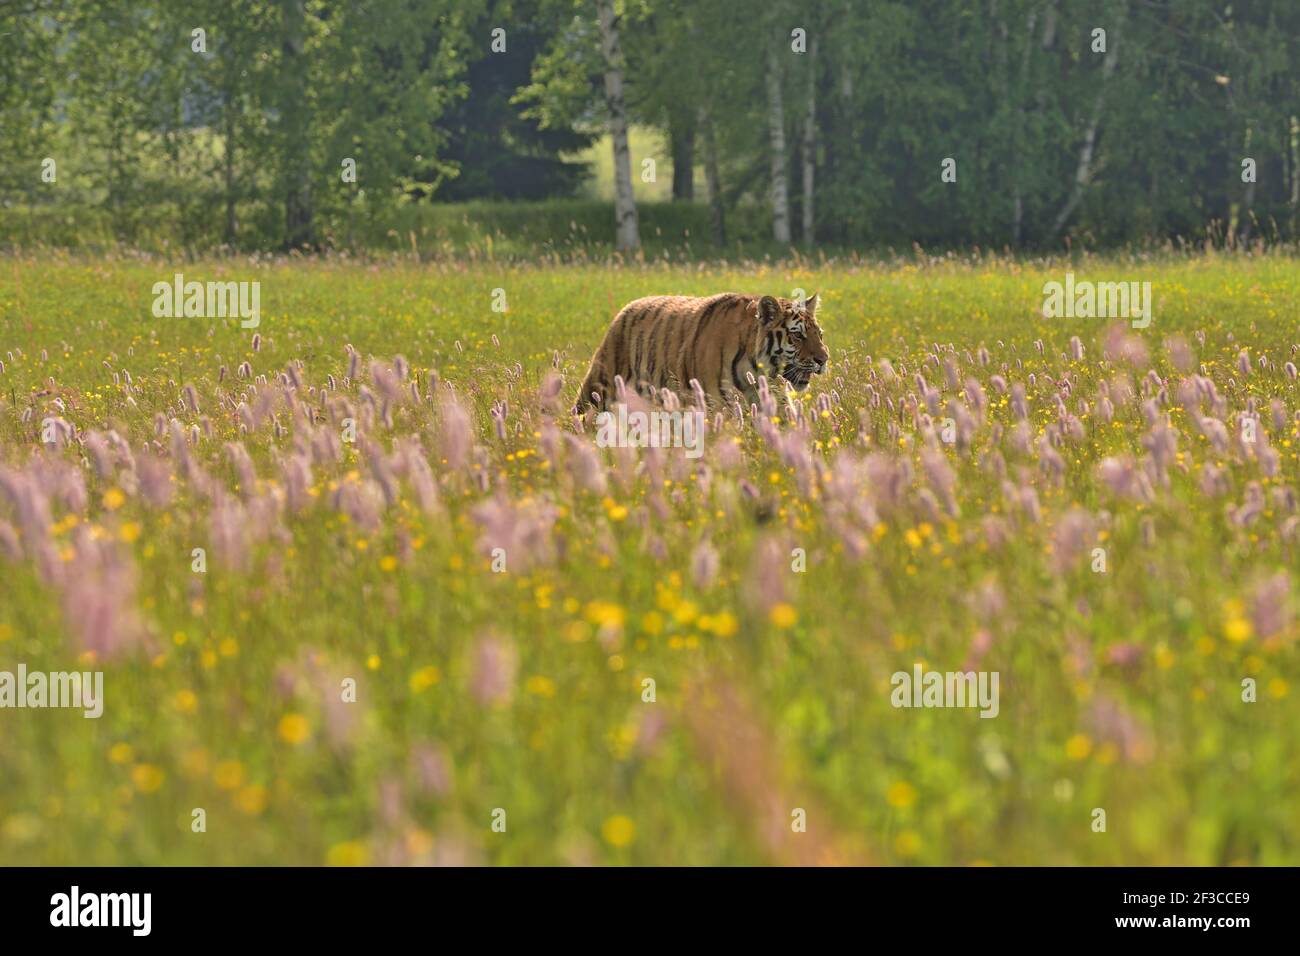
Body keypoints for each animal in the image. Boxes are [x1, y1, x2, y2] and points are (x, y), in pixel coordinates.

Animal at [573, 292, 829, 414]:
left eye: (819, 335)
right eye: (798, 336)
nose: (823, 360)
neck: (757, 372)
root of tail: (625, 309)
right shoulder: (716, 405)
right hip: (599, 387)